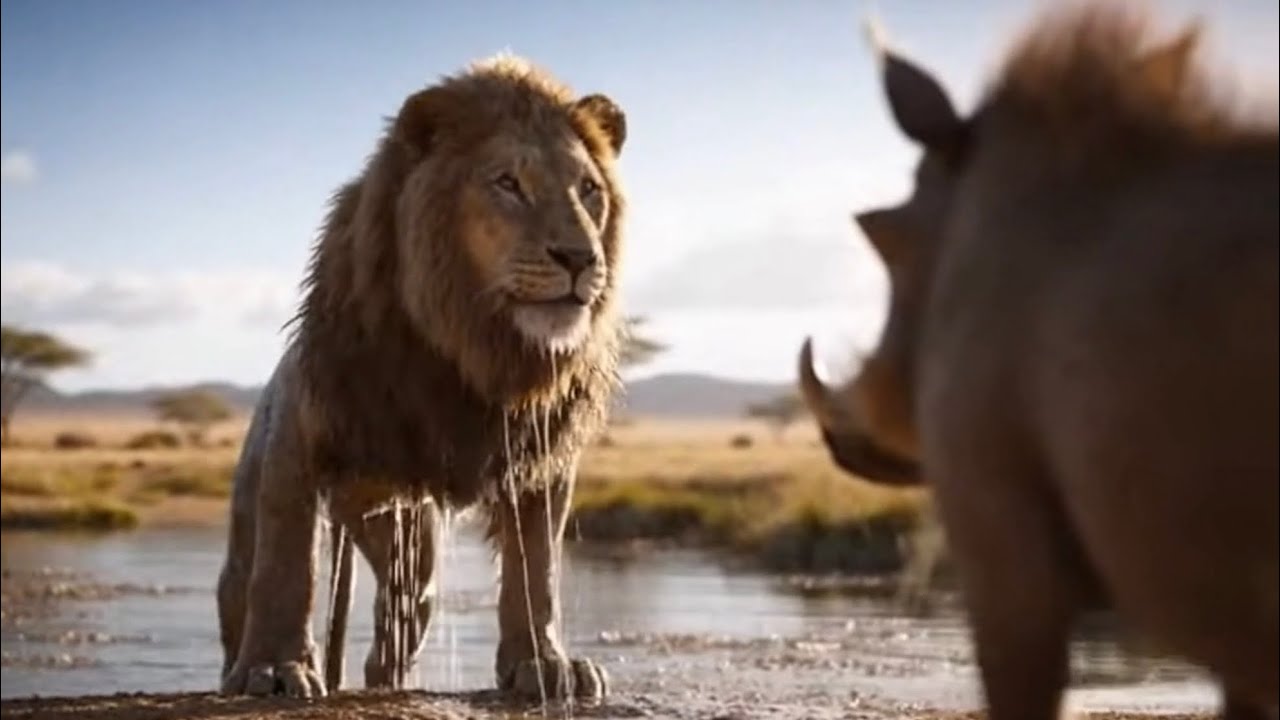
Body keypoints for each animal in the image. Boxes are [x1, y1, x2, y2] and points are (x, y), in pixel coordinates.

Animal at [215, 54, 629, 701]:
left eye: (590, 190)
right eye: (507, 183)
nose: (581, 259)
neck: (472, 342)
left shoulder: (539, 452)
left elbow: (537, 567)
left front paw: (546, 667)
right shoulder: (300, 433)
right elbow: (287, 564)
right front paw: (276, 670)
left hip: (412, 549)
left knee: (392, 636)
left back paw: (385, 688)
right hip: (255, 530)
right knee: (244, 591)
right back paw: (242, 667)